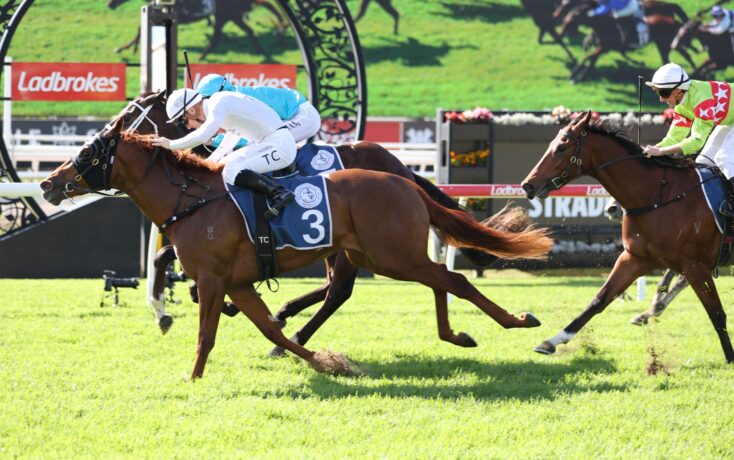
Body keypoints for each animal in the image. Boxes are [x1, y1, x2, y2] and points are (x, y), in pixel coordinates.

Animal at [40, 121, 553, 379]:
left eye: (87, 153)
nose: (47, 182)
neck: (192, 200)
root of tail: (404, 179)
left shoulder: (213, 278)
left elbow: (207, 332)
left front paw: (192, 376)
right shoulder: (238, 282)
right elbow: (270, 329)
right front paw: (328, 363)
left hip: (390, 256)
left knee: (452, 279)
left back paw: (518, 320)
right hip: (381, 256)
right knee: (433, 281)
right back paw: (457, 335)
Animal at [107, 0, 286, 59]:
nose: (109, 4)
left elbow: (139, 28)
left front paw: (125, 48)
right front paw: (126, 48)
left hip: (227, 16)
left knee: (219, 36)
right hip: (229, 16)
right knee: (246, 32)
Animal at [116, 92, 533, 355]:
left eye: (132, 114)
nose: (110, 131)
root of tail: (401, 169)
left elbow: (169, 257)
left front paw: (172, 306)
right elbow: (165, 256)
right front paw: (171, 306)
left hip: (357, 244)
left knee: (339, 290)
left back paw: (291, 333)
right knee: (340, 287)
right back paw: (286, 318)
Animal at [521, 111, 734, 364]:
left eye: (562, 148)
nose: (528, 185)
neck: (659, 196)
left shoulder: (695, 266)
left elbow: (716, 313)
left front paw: (730, 358)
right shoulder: (635, 258)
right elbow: (600, 299)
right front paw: (551, 341)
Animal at [559, 1, 695, 83]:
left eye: (574, 15)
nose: (564, 24)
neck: (604, 24)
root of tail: (672, 20)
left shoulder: (604, 47)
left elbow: (588, 57)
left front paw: (574, 75)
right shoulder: (602, 47)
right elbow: (591, 59)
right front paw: (578, 75)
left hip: (663, 45)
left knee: (676, 57)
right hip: (665, 44)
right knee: (680, 55)